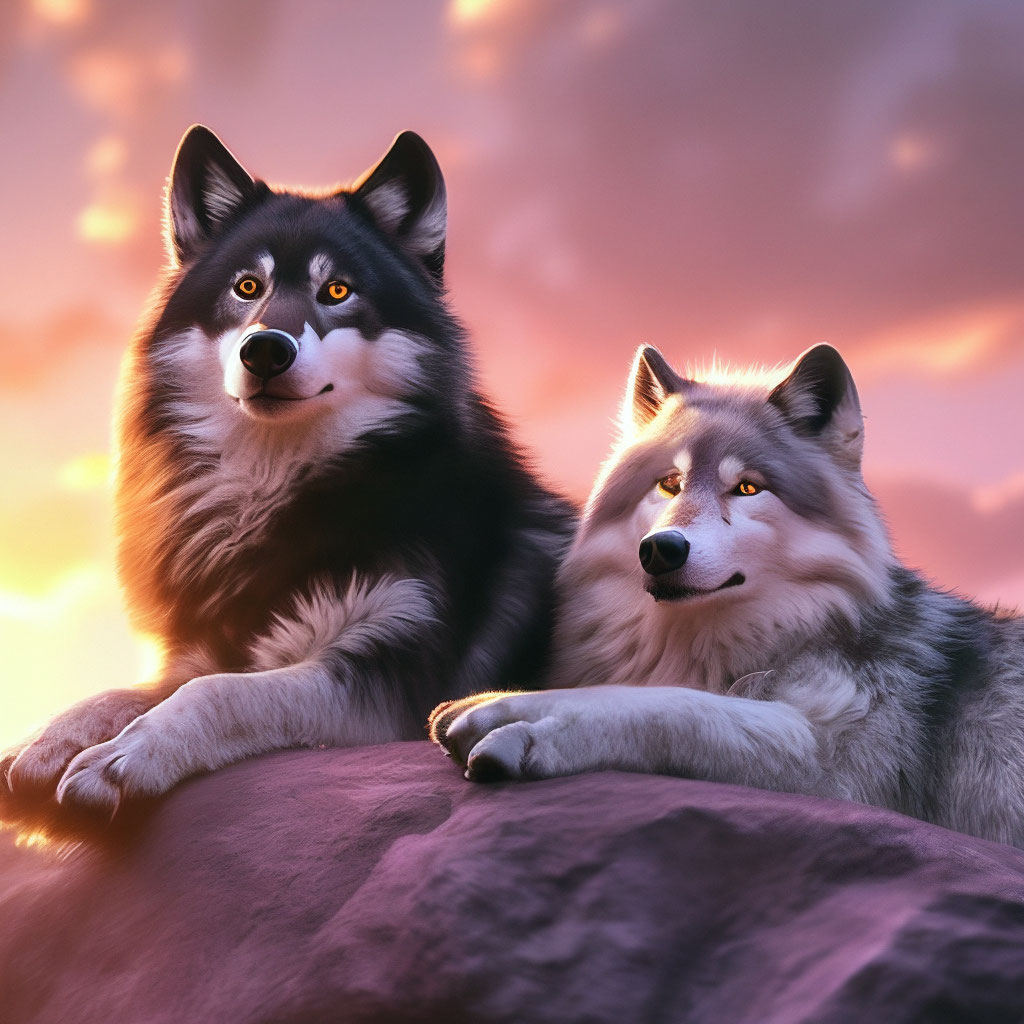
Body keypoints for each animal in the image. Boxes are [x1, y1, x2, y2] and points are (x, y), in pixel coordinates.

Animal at [3, 126, 573, 816]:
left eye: (338, 291)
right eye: (248, 287)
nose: (266, 350)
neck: (276, 487)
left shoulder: (391, 681)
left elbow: (216, 691)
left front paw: (121, 758)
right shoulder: (213, 646)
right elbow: (124, 693)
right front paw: (47, 738)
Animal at [431, 344, 1024, 848]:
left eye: (746, 488)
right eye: (669, 483)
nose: (660, 549)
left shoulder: (833, 762)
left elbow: (677, 707)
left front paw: (524, 732)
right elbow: (638, 693)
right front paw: (490, 703)